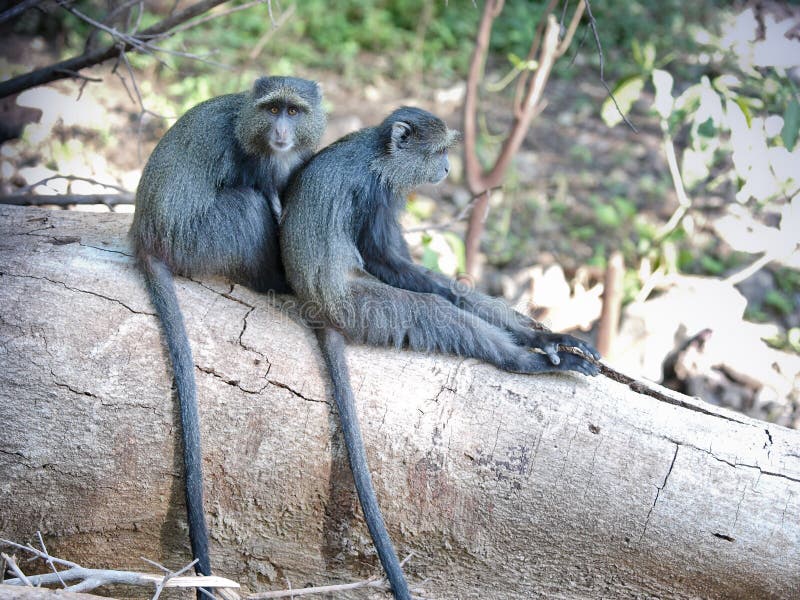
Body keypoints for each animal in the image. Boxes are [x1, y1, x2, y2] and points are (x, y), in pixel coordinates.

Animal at [129, 75, 325, 594]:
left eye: (294, 112)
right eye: (272, 109)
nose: (281, 131)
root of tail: (145, 233)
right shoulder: (254, 164)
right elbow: (264, 199)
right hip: (198, 239)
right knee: (248, 207)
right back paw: (275, 283)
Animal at [280, 106, 601, 600]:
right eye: (440, 152)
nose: (449, 169)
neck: (376, 150)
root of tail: (318, 306)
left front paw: (543, 336)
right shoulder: (378, 191)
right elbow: (392, 263)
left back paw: (539, 343)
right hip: (365, 309)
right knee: (432, 310)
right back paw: (523, 361)